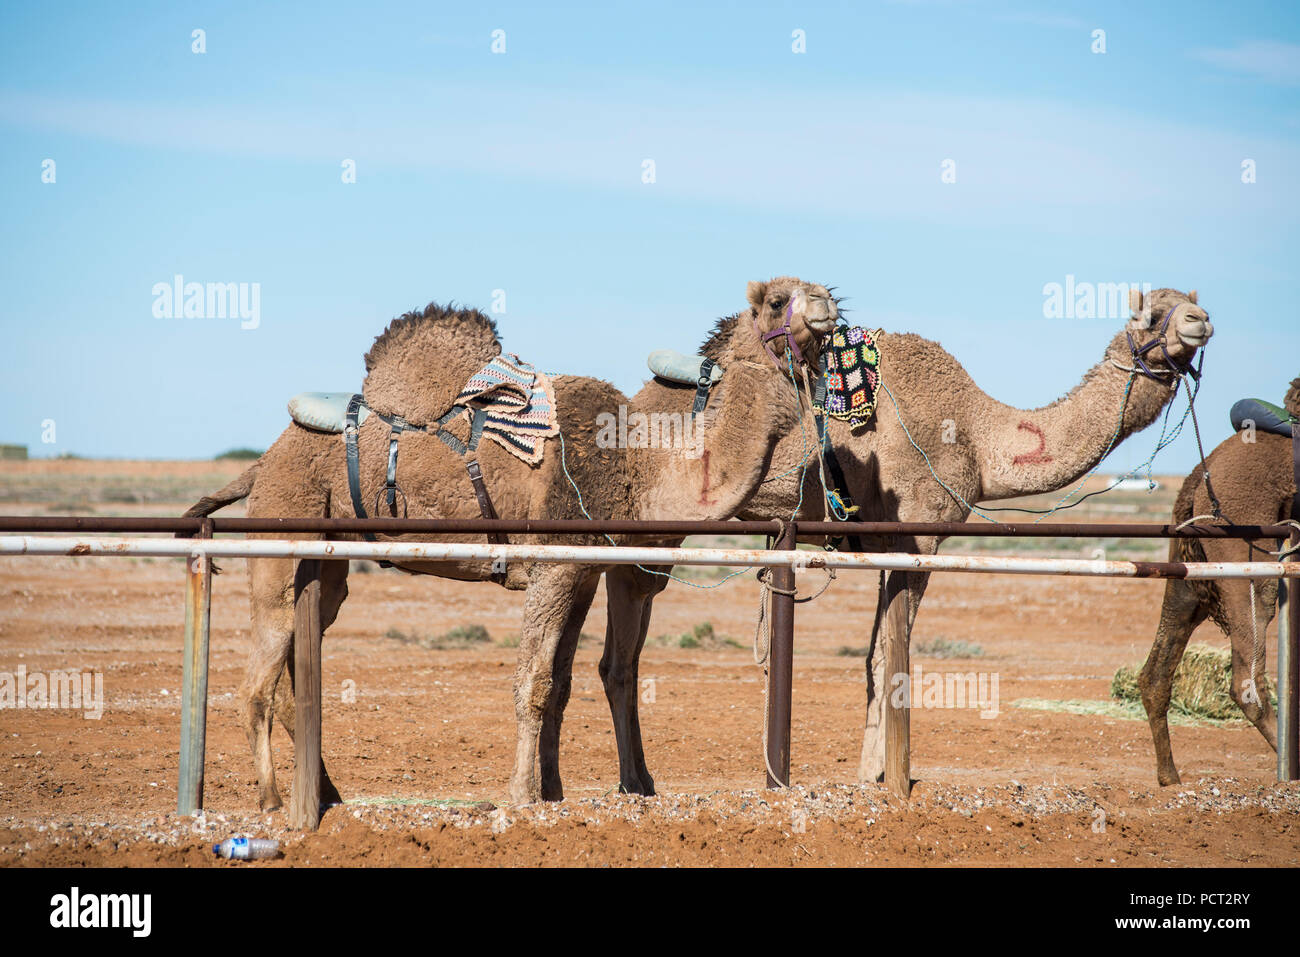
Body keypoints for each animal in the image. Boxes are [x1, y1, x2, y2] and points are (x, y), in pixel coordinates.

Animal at [185, 277, 838, 808]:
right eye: (777, 299)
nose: (826, 306)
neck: (637, 464)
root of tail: (263, 461)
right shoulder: (553, 564)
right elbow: (535, 681)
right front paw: (522, 795)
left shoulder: (582, 571)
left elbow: (564, 682)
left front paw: (553, 791)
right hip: (280, 532)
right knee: (257, 680)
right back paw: (274, 801)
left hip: (327, 562)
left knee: (295, 666)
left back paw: (327, 795)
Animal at [582, 287, 1215, 791]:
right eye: (1152, 311)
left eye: (1190, 300)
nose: (1200, 319)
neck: (981, 437)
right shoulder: (919, 537)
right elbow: (892, 657)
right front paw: (877, 773)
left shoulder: (888, 542)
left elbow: (875, 657)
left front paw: (875, 768)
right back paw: (634, 781)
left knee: (624, 649)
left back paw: (638, 781)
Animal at [1137, 376, 1299, 785]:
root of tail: (1200, 475)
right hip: (1247, 551)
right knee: (1247, 679)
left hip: (1189, 572)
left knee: (1157, 671)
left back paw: (1169, 776)